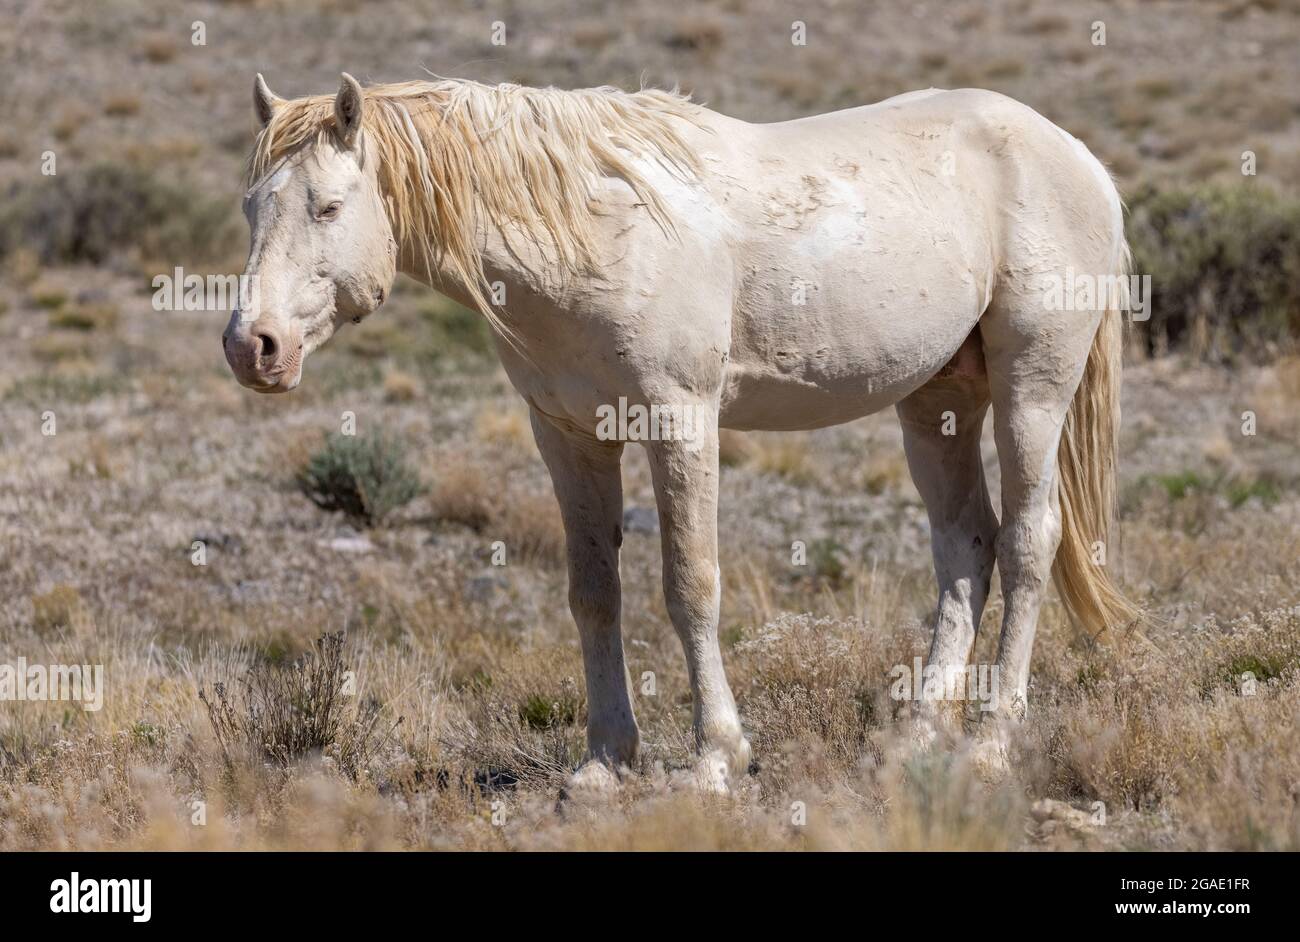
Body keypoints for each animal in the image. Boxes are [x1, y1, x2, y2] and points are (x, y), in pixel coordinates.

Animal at [224, 72, 1138, 791]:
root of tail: (1079, 158)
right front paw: (604, 761)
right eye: (250, 208)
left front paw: (715, 758)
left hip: (1032, 389)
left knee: (1028, 541)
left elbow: (690, 585)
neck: (592, 229)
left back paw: (990, 742)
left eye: (328, 206)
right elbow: (593, 593)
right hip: (937, 401)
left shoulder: (680, 421)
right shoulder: (570, 435)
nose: (251, 345)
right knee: (965, 548)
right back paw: (916, 734)